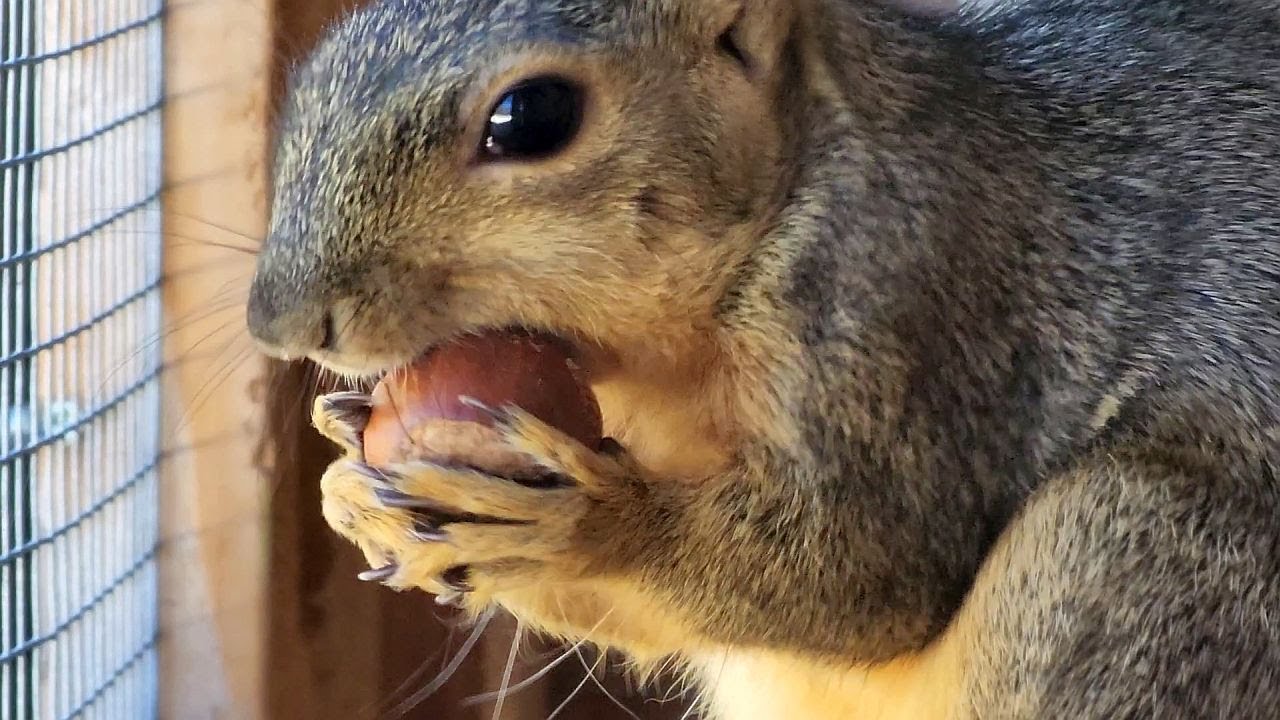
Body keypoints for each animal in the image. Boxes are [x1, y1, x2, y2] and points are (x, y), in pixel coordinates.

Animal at [246, 0, 1280, 717]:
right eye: (320, 65)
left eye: (531, 116)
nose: (277, 323)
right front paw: (348, 490)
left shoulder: (920, 308)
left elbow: (871, 569)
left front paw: (593, 525)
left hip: (1133, 557)